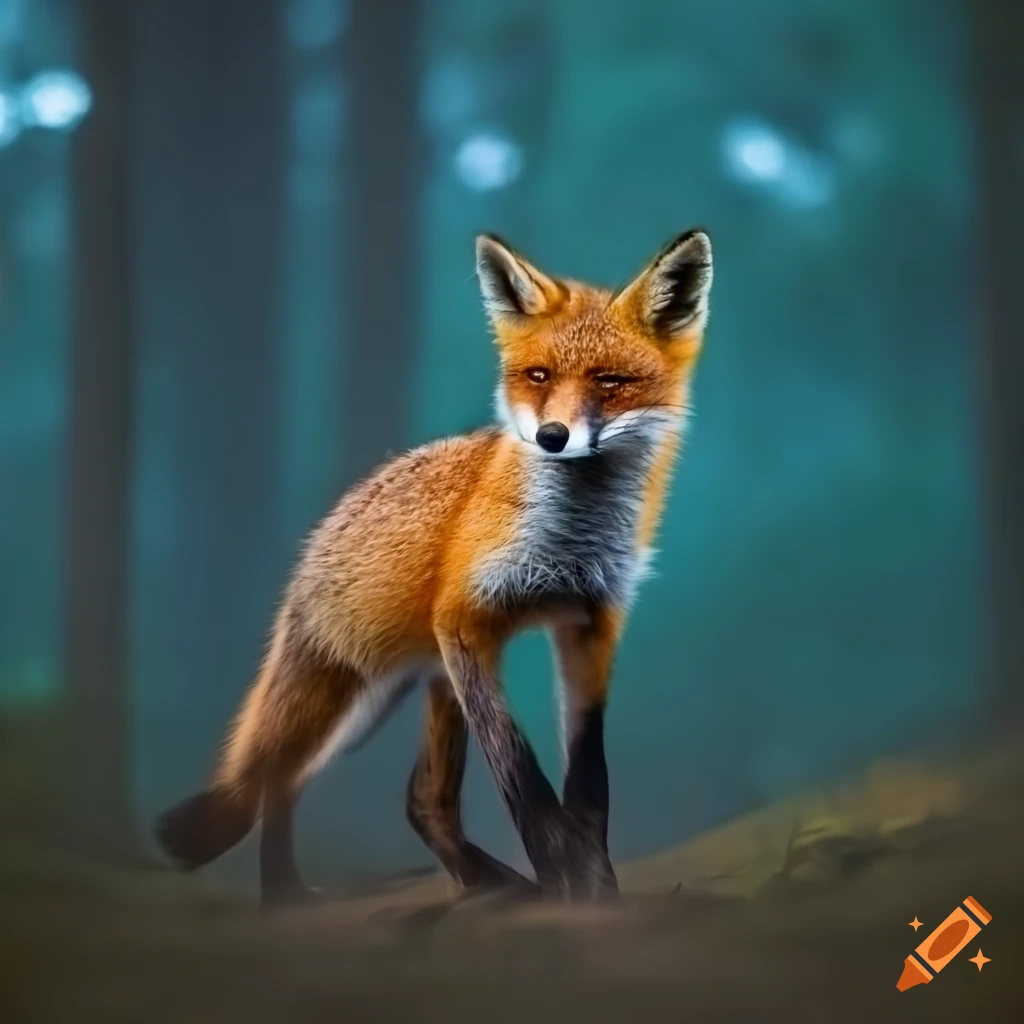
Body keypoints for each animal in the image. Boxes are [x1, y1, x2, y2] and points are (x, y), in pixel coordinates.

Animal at [155, 228, 713, 906]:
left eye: (609, 382)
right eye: (538, 375)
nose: (553, 436)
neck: (569, 539)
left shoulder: (590, 625)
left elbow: (589, 782)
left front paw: (595, 888)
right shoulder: (466, 622)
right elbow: (521, 776)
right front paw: (564, 883)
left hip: (417, 689)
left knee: (420, 803)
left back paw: (486, 885)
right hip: (345, 700)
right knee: (275, 783)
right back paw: (283, 896)